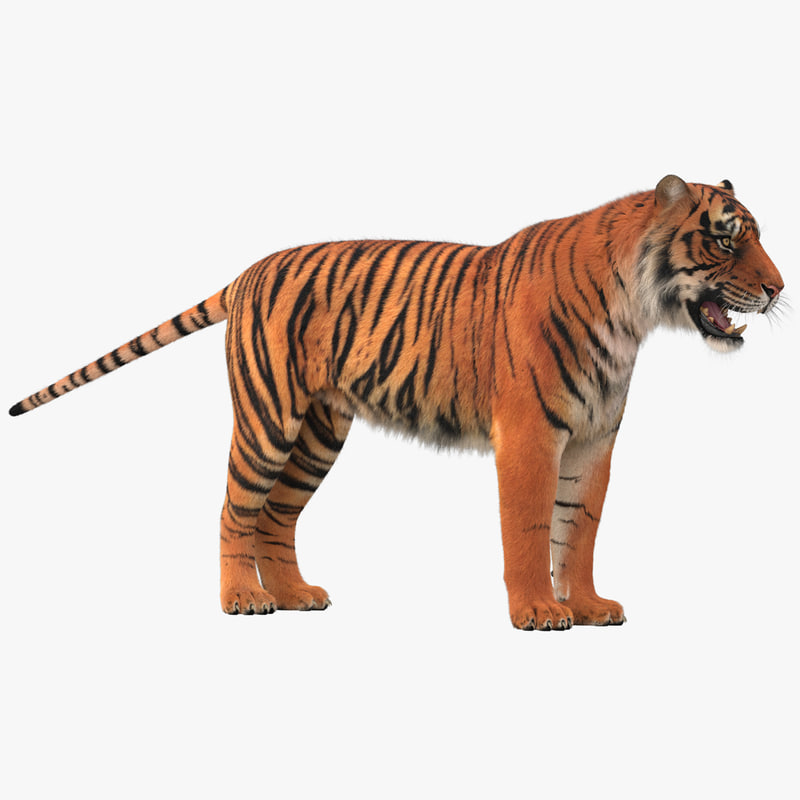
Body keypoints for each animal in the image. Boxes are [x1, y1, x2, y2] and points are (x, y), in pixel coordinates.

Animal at [9, 175, 784, 630]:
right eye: (725, 238)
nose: (779, 287)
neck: (634, 316)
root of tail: (249, 270)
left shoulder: (594, 442)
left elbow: (580, 529)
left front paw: (589, 605)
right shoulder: (531, 436)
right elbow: (531, 529)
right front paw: (538, 611)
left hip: (319, 433)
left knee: (277, 517)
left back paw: (295, 597)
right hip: (268, 421)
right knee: (235, 509)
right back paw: (242, 599)